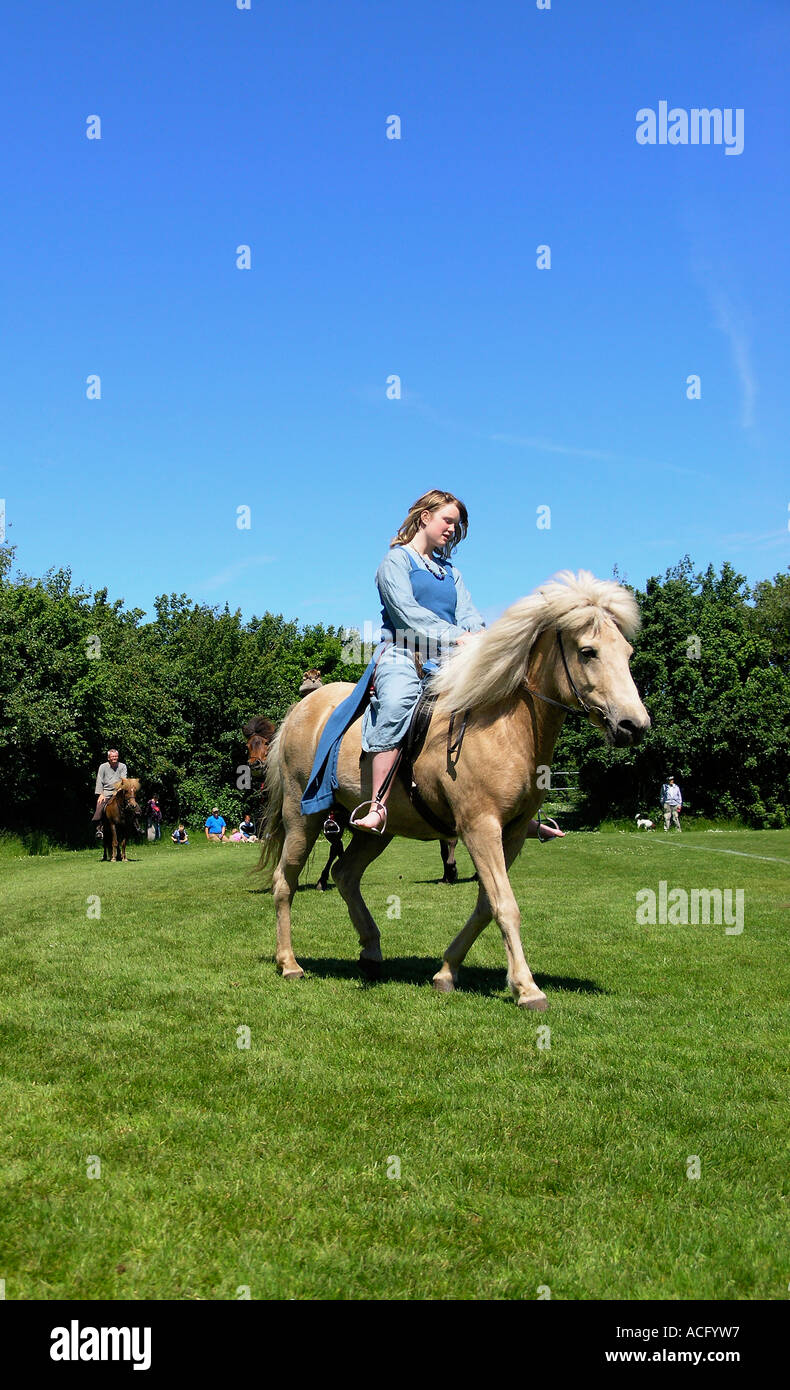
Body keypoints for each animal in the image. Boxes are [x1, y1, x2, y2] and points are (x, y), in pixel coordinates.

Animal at [254, 572, 650, 1010]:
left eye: (628, 652)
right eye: (588, 651)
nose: (634, 725)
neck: (502, 724)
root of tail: (300, 711)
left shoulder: (512, 834)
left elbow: (486, 904)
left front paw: (446, 972)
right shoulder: (480, 827)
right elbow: (505, 905)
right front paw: (527, 988)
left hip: (376, 831)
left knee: (344, 875)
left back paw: (371, 951)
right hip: (302, 817)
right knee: (284, 882)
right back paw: (289, 963)